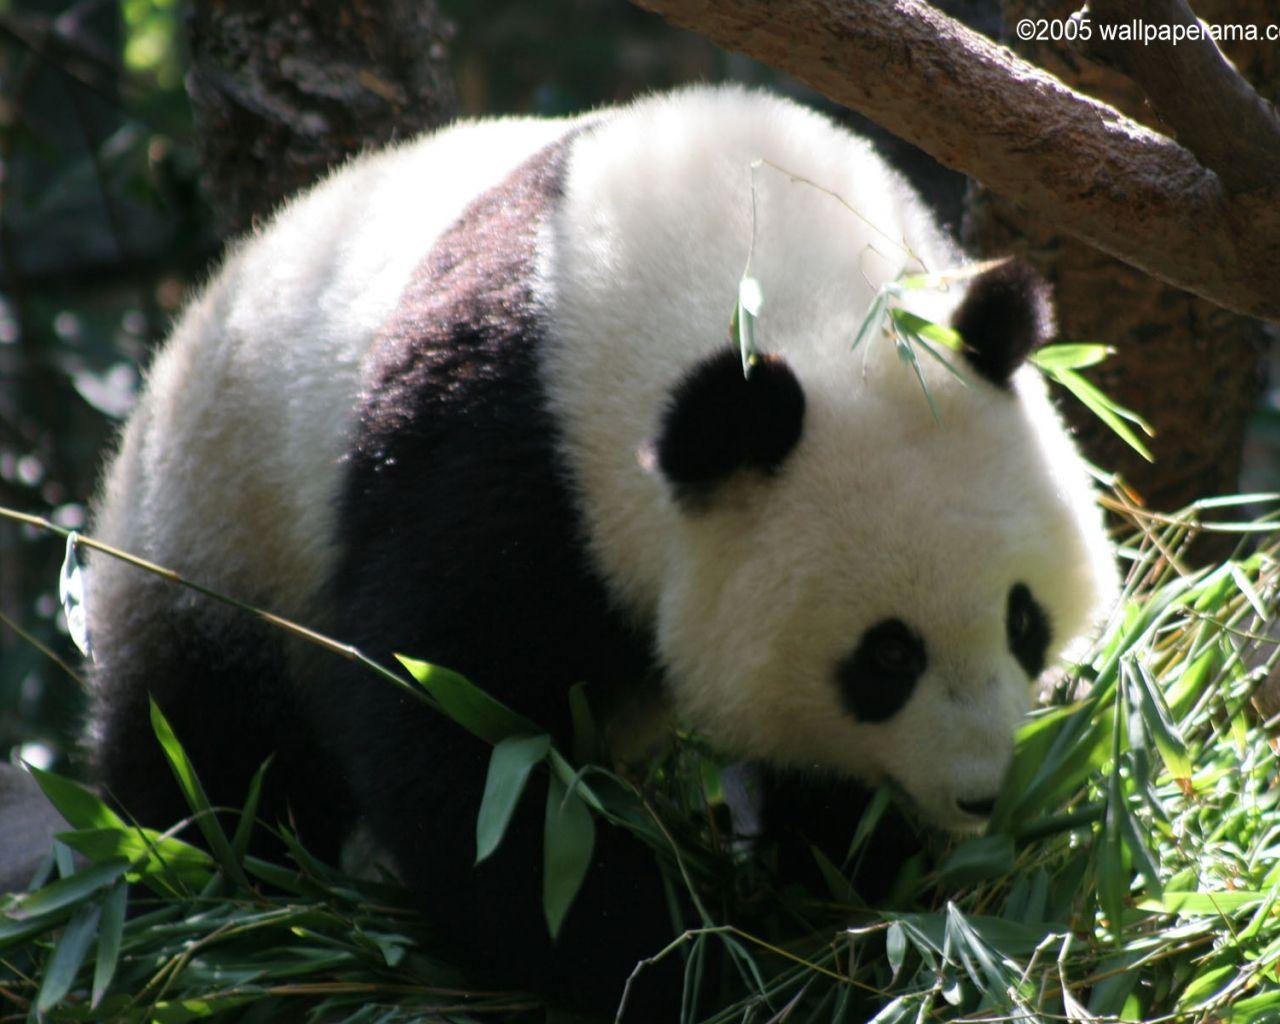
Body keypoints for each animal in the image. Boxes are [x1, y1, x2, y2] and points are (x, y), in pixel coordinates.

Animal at [86, 86, 1116, 1013]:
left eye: (1023, 619)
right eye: (887, 656)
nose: (981, 794)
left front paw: (850, 892)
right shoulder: (504, 453)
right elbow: (462, 749)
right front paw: (678, 956)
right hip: (218, 524)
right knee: (209, 754)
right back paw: (221, 905)